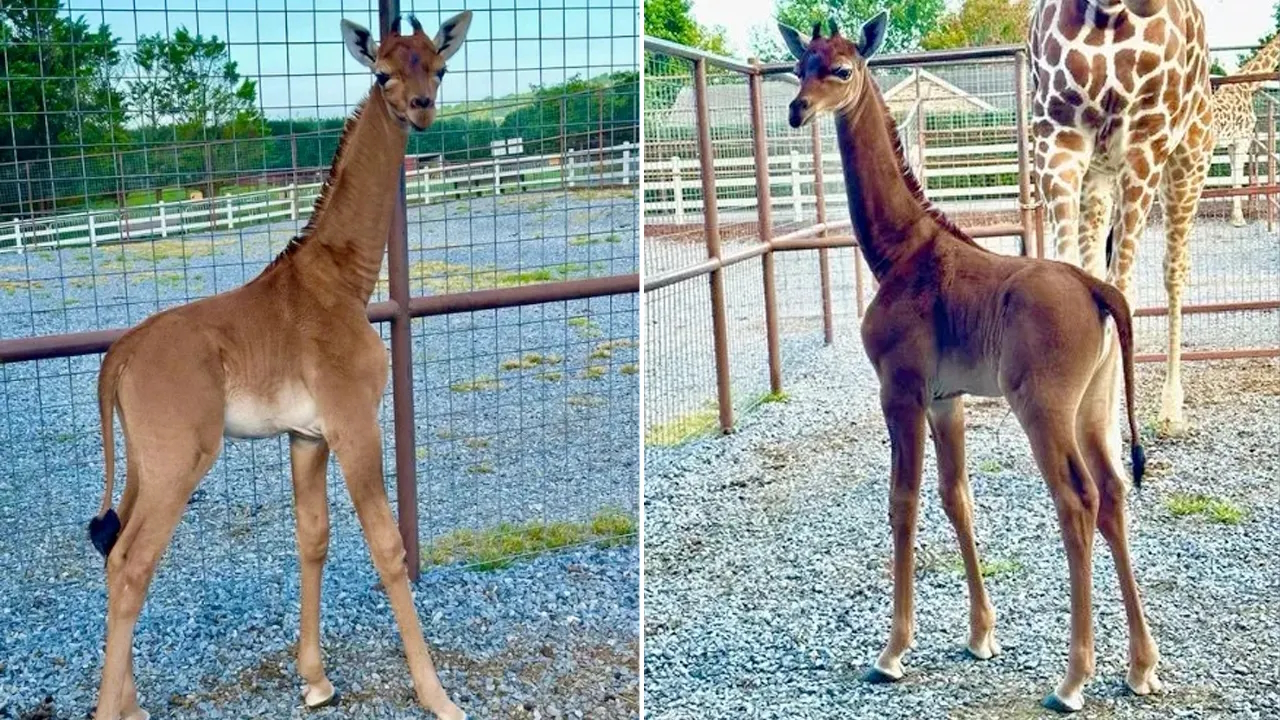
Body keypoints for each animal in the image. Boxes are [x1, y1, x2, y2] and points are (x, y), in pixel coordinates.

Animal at [85, 13, 473, 720]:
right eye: (382, 72)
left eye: (438, 65)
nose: (422, 108)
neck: (344, 282)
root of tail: (118, 358)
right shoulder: (353, 423)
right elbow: (388, 547)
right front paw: (438, 696)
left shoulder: (305, 436)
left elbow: (312, 538)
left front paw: (316, 680)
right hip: (180, 460)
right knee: (131, 563)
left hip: (143, 464)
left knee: (111, 550)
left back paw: (132, 702)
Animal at [781, 12, 1156, 714]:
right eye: (801, 66)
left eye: (841, 69)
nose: (797, 109)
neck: (899, 252)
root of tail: (1098, 289)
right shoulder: (944, 399)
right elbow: (958, 497)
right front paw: (982, 636)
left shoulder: (900, 391)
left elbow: (903, 501)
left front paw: (893, 652)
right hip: (1094, 407)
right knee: (1115, 493)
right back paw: (1141, 667)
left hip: (1044, 408)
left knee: (1078, 499)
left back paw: (1072, 681)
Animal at [1029, 0, 1215, 440]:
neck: (1108, 11)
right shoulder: (1057, 136)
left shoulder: (1144, 142)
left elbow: (1123, 290)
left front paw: (1107, 434)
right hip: (1098, 176)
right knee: (1095, 267)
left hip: (1190, 158)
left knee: (1174, 270)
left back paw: (1170, 410)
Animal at [1212, 31, 1280, 227]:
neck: (1247, 85)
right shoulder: (1243, 139)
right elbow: (1238, 177)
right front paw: (1238, 219)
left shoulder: (1231, 143)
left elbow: (1235, 175)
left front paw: (1235, 217)